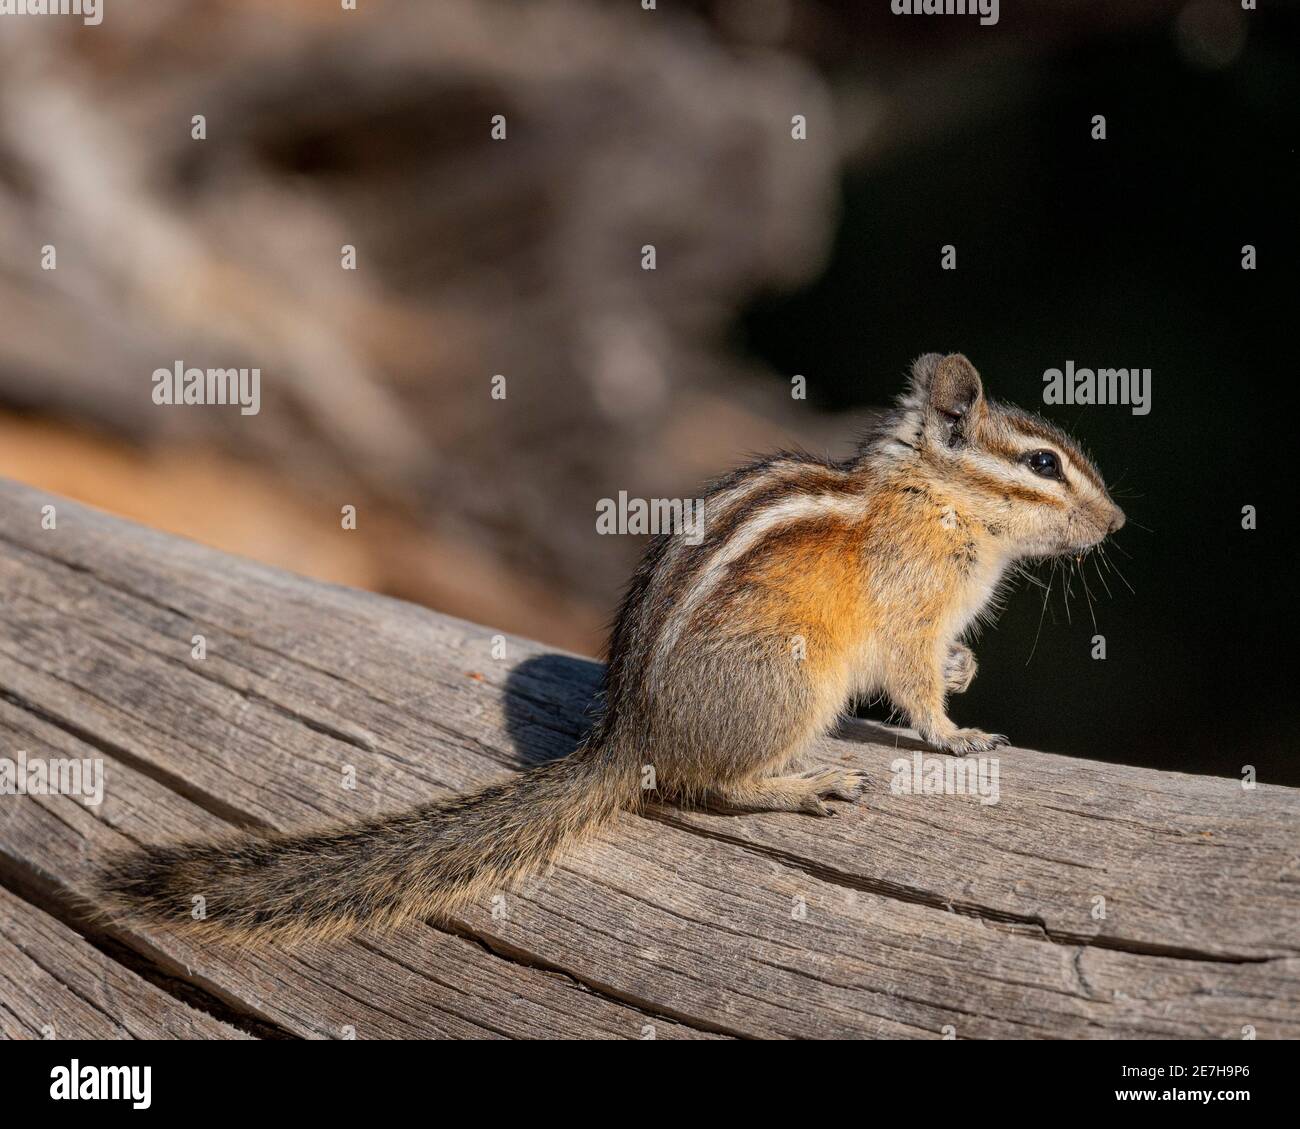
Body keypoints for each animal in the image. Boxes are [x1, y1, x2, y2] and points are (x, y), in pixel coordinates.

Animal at [100, 353, 1124, 943]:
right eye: (1043, 464)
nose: (1117, 521)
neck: (935, 496)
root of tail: (632, 737)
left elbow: (936, 668)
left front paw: (967, 671)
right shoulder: (910, 608)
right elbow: (913, 684)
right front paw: (957, 733)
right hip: (788, 684)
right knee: (714, 787)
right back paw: (805, 783)